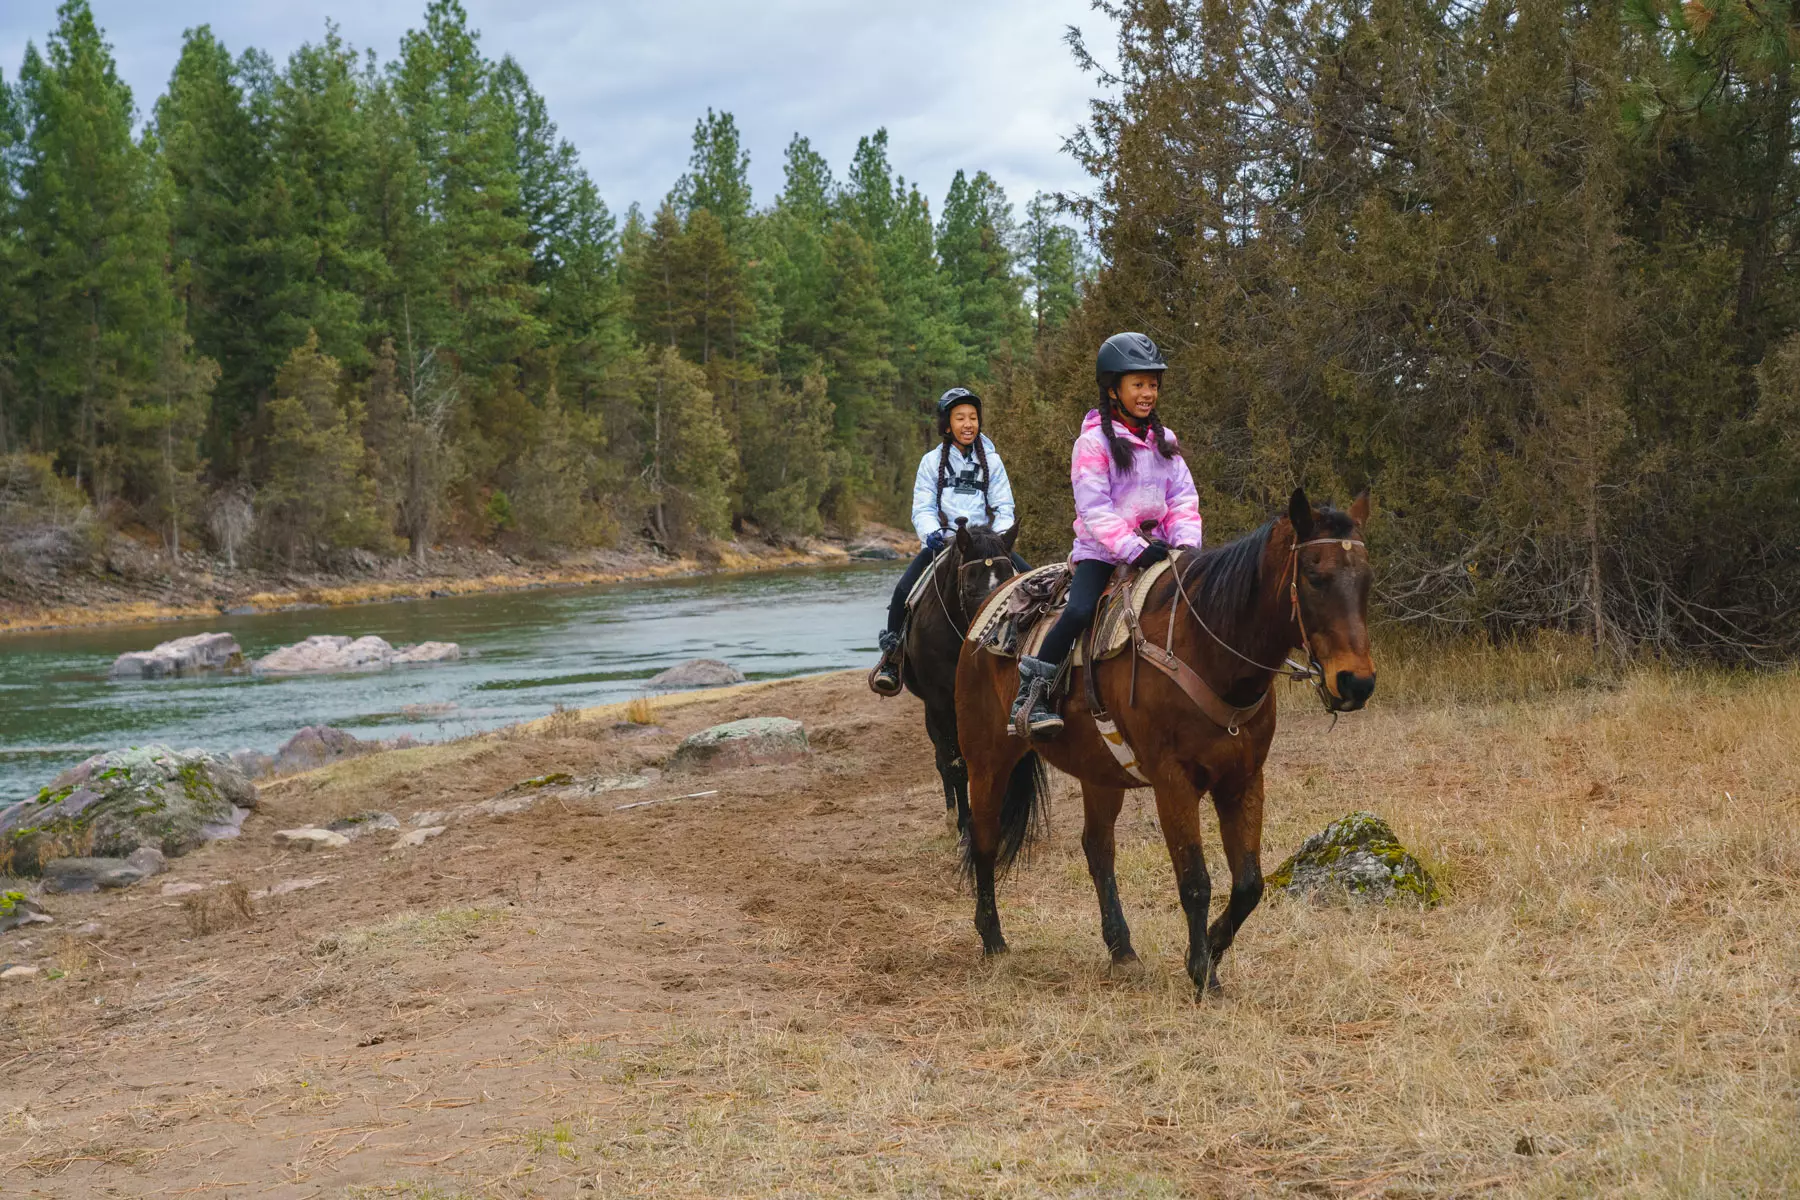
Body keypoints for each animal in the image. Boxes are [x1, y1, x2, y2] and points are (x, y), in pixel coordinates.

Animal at [957, 489, 1375, 993]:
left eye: (1367, 579)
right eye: (1315, 577)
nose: (1356, 683)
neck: (1207, 649)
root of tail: (986, 611)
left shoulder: (1243, 780)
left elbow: (1249, 884)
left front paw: (1212, 949)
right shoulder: (1174, 783)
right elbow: (1195, 880)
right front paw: (1202, 974)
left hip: (1100, 773)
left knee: (1098, 849)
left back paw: (1122, 951)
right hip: (987, 760)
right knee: (984, 839)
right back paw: (993, 941)